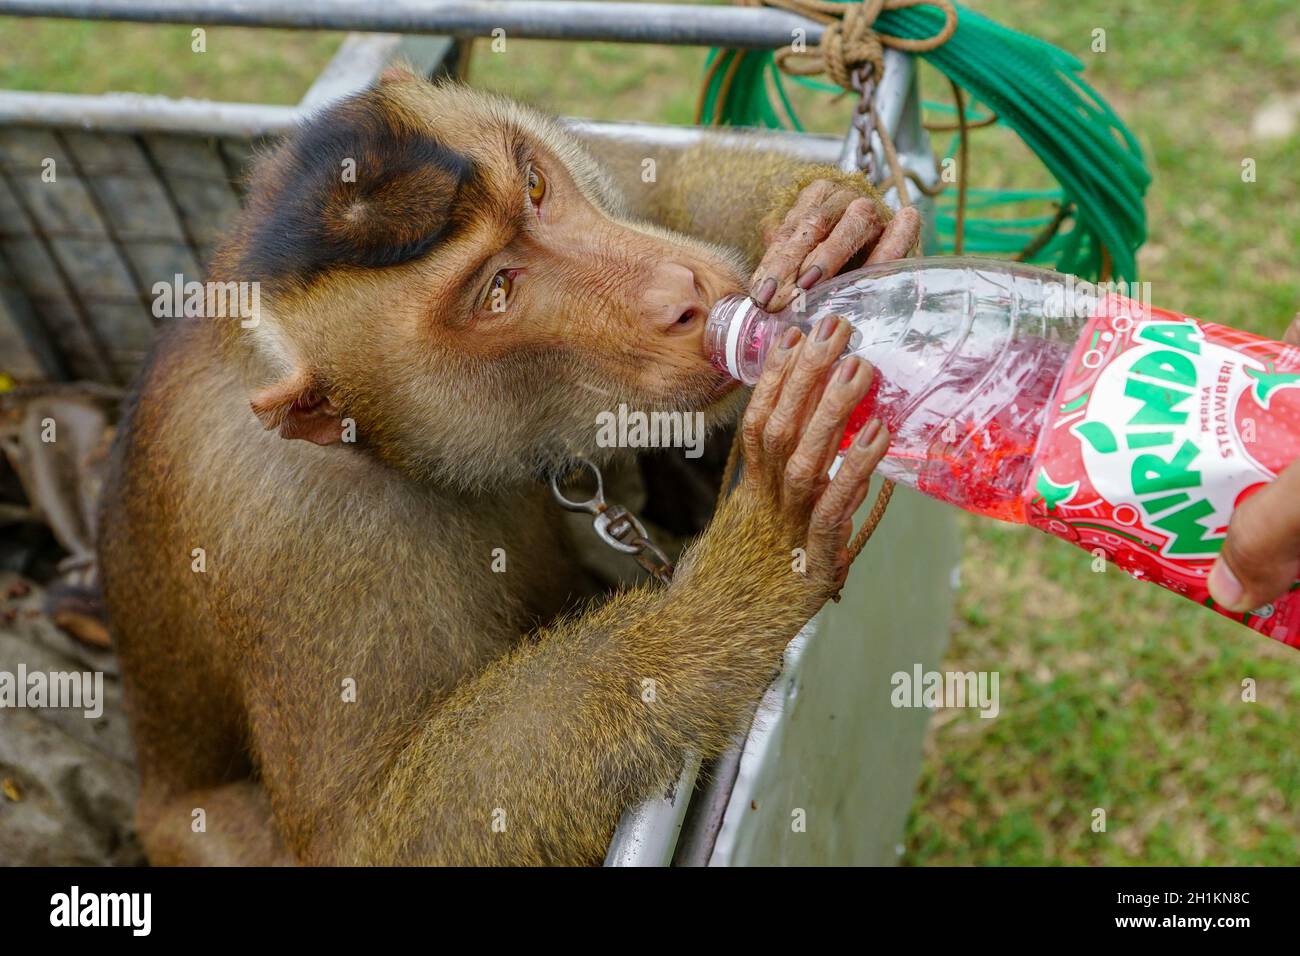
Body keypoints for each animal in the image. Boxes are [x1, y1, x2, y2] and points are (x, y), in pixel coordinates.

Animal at [97, 71, 919, 866]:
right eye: (497, 290)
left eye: (535, 185)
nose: (681, 298)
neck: (381, 444)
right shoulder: (308, 530)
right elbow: (363, 839)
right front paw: (742, 578)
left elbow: (649, 183)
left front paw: (824, 213)